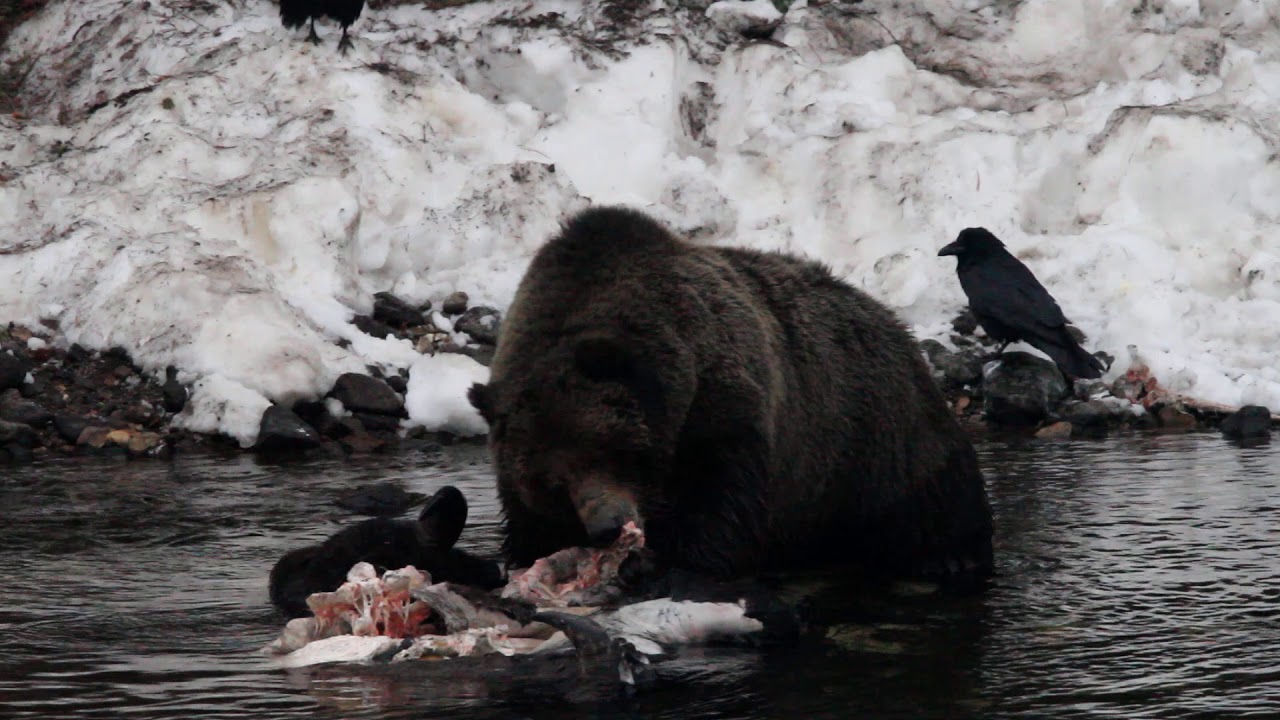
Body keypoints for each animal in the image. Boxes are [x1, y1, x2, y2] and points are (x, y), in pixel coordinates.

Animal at [466, 206, 994, 584]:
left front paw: (673, 563)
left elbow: (723, 506)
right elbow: (528, 527)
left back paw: (950, 558)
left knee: (934, 498)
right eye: (552, 481)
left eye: (610, 449)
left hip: (878, 439)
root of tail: (893, 321)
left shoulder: (724, 414)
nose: (608, 526)